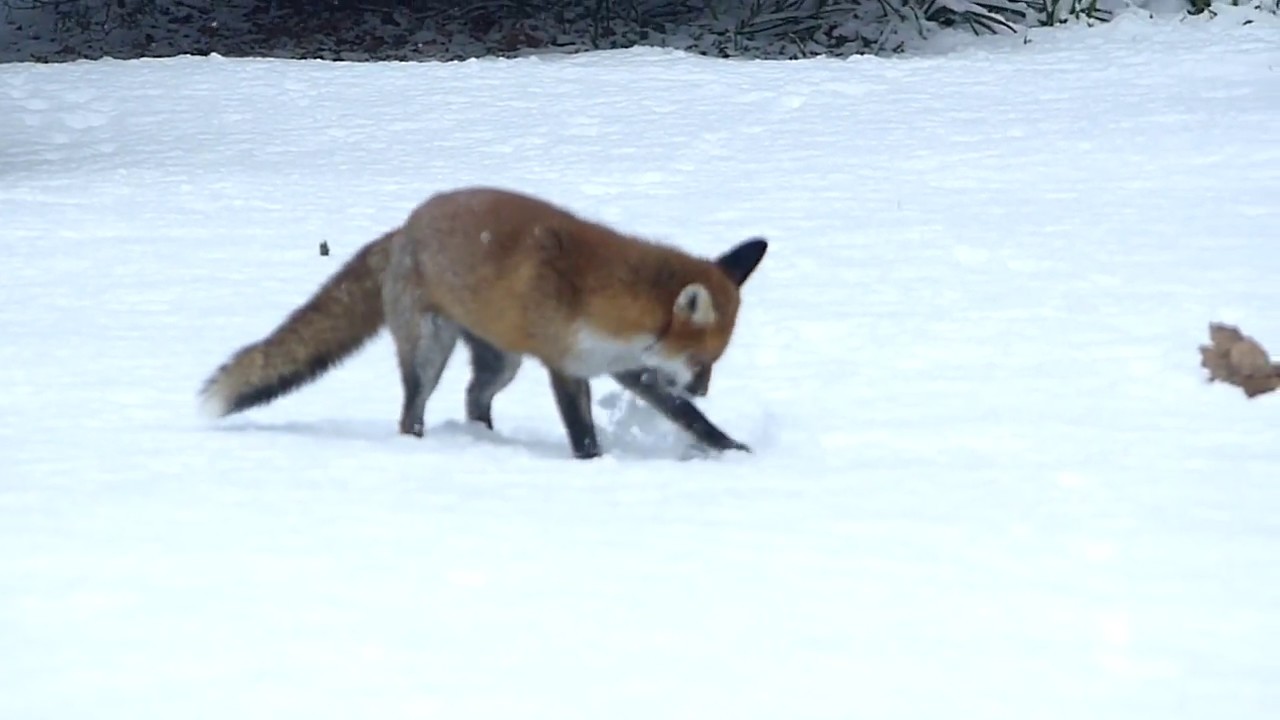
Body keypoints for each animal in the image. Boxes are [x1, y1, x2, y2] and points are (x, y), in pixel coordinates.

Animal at [199, 186, 768, 459]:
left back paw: (488, 442)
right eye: (701, 361)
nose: (702, 389)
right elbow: (582, 433)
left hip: (502, 362)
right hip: (431, 353)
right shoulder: (565, 366)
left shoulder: (633, 369)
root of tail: (403, 229)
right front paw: (593, 466)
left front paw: (733, 452)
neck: (608, 301)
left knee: (474, 398)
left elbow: (693, 423)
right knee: (412, 413)